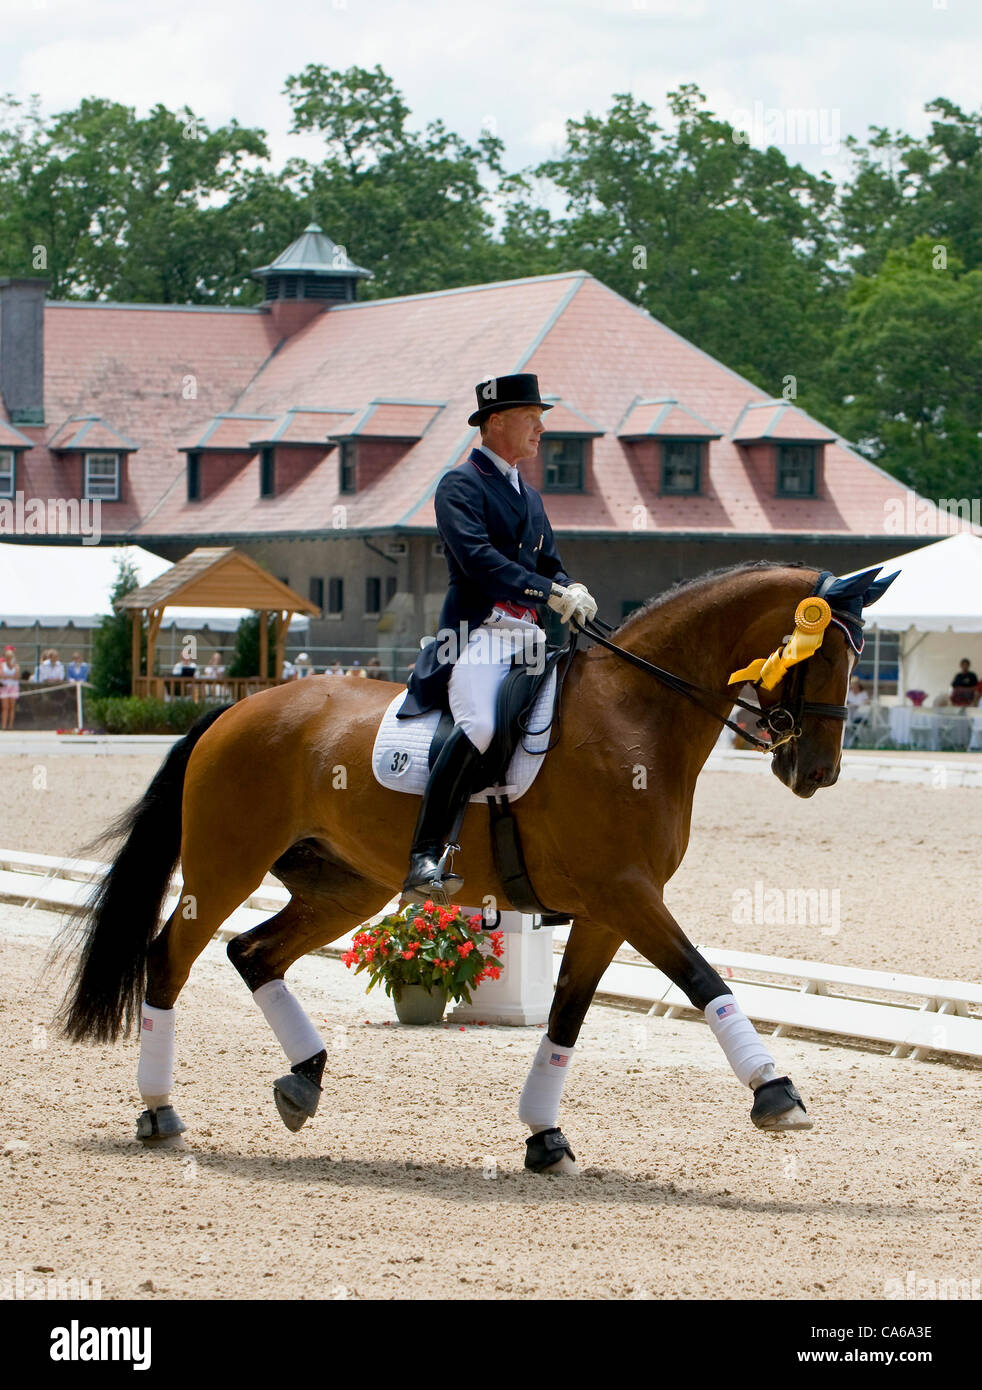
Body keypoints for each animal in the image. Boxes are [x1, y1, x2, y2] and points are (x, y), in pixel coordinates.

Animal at [56, 560, 888, 1175]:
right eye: (823, 654)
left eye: (860, 656)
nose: (817, 772)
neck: (638, 712)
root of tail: (236, 709)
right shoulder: (627, 893)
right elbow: (703, 979)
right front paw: (776, 1091)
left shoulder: (608, 909)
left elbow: (567, 1017)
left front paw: (544, 1137)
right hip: (224, 867)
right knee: (171, 958)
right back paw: (160, 1110)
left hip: (343, 887)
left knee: (253, 952)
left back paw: (303, 1079)